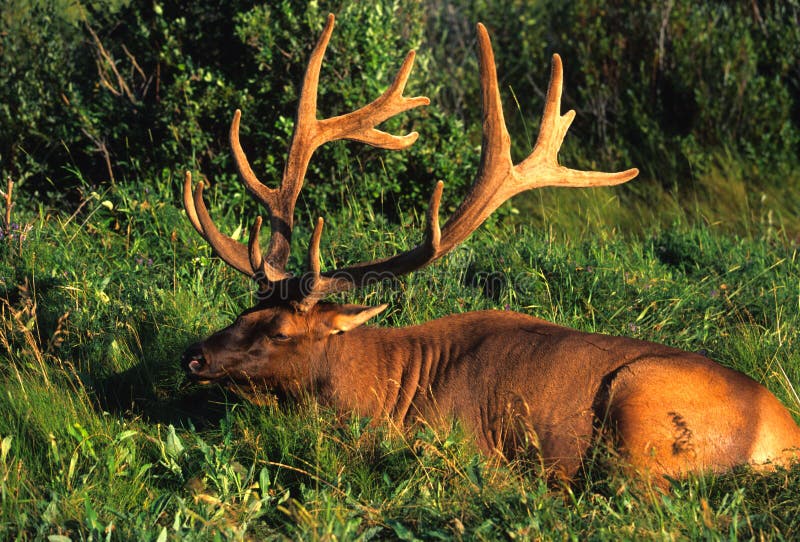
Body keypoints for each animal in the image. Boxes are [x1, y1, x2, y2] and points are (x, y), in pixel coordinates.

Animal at [181, 14, 800, 484]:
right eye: (243, 312)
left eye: (281, 332)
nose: (195, 356)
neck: (386, 393)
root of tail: (783, 436)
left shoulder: (457, 443)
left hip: (642, 416)